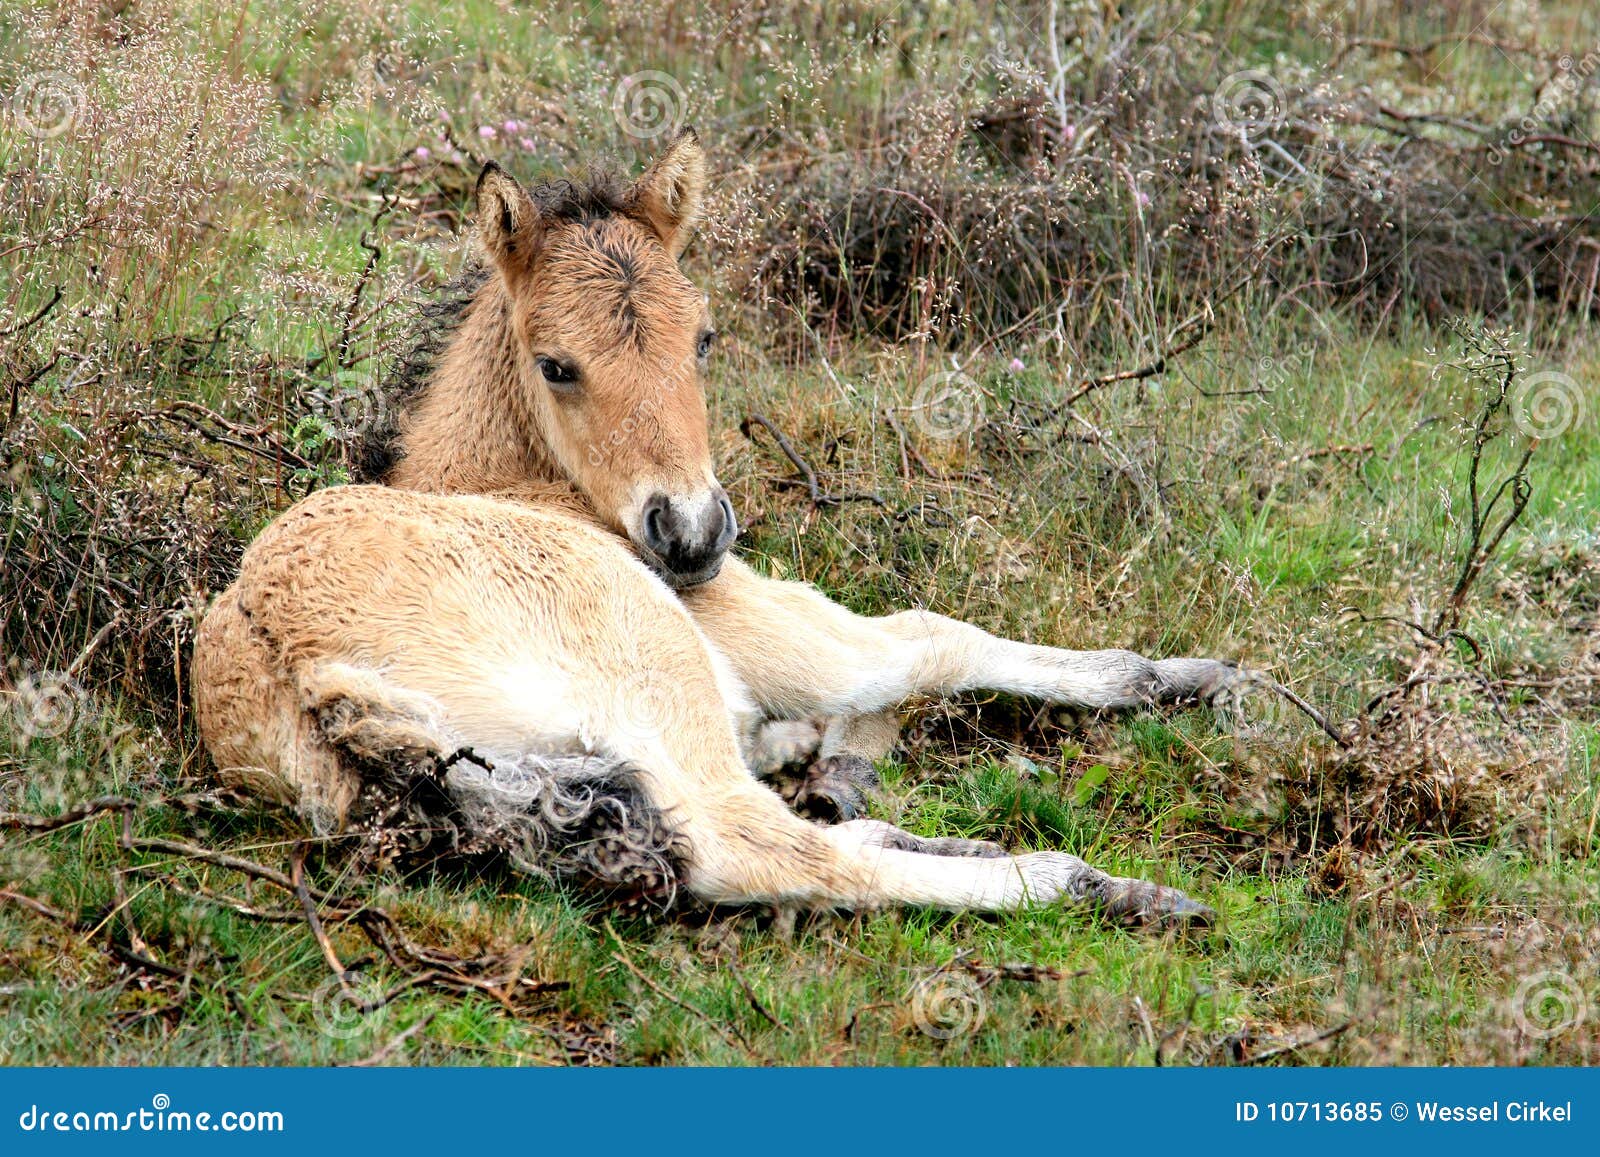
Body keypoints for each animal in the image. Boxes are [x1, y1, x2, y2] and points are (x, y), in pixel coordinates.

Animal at [192, 130, 1240, 923]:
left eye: (702, 338)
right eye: (555, 364)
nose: (692, 534)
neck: (500, 483)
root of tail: (299, 662)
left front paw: (831, 757)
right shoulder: (776, 625)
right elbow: (933, 642)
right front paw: (1199, 676)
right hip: (657, 668)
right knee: (759, 846)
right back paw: (1087, 884)